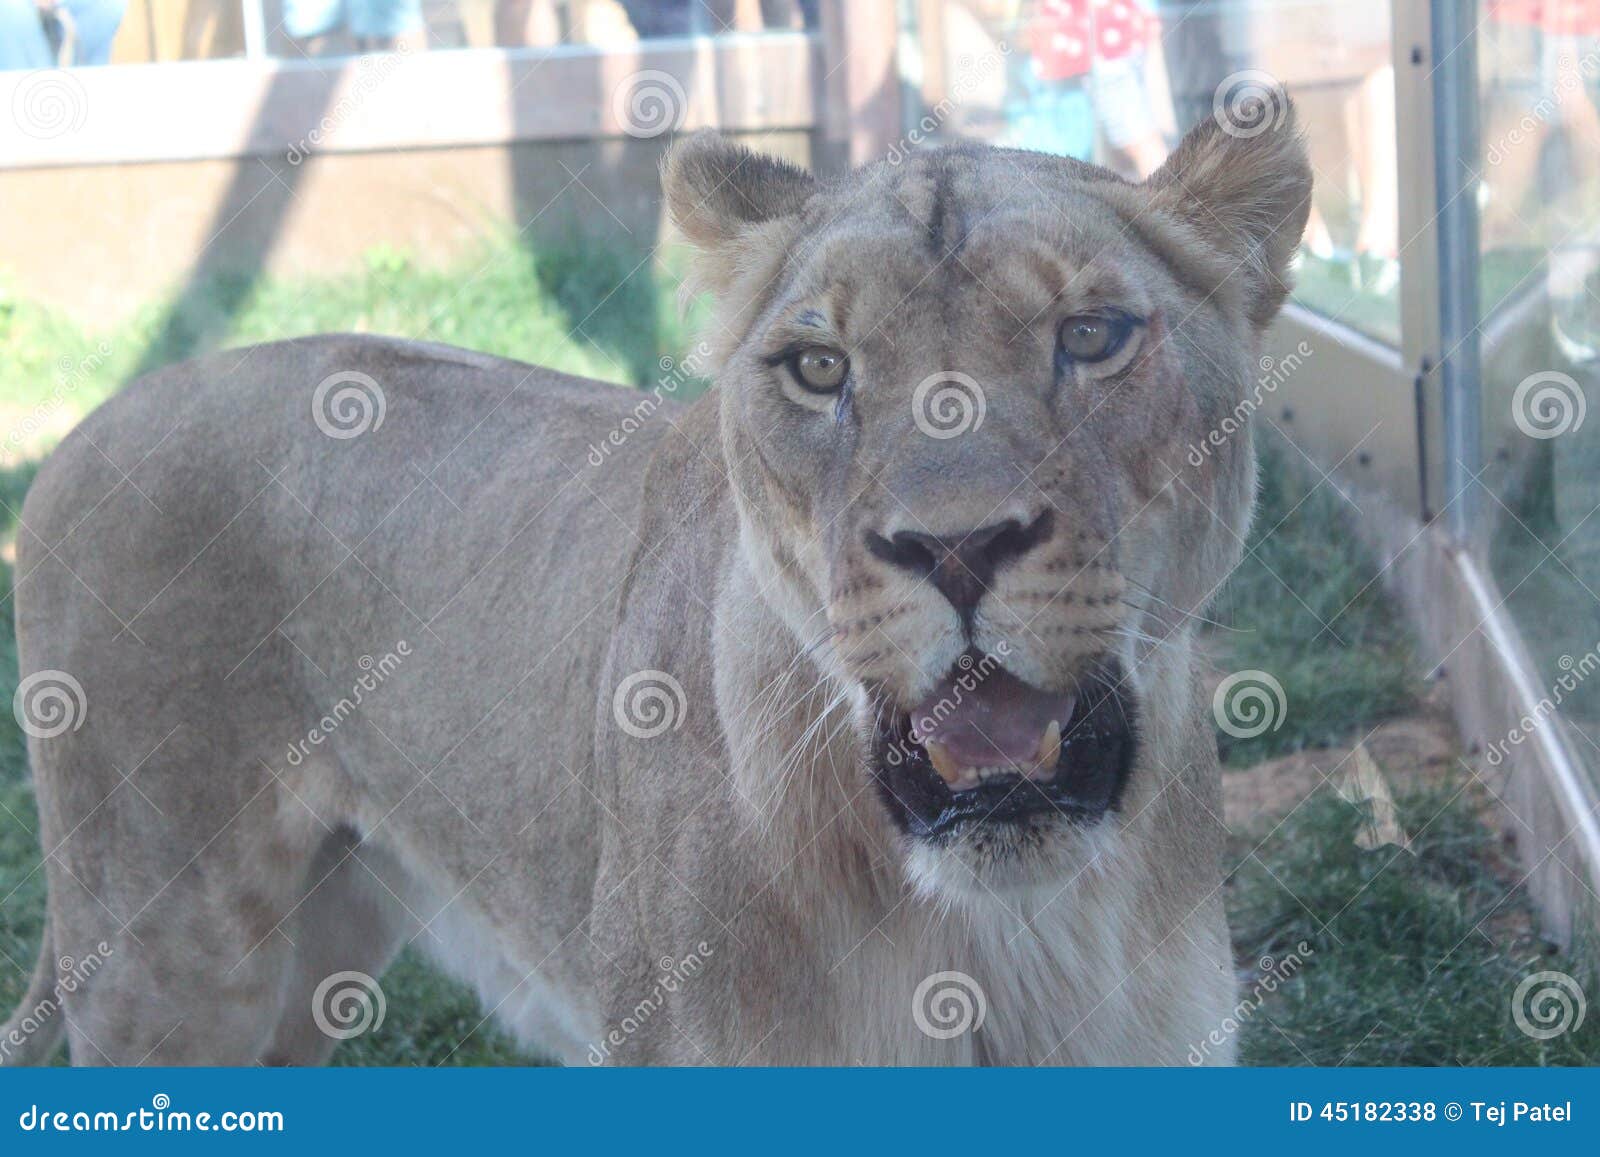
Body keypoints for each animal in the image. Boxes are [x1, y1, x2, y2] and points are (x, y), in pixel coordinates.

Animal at [2, 110, 1309, 1066]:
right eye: (817, 366)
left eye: (1091, 335)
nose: (954, 546)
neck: (999, 936)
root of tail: (95, 418)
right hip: (163, 953)